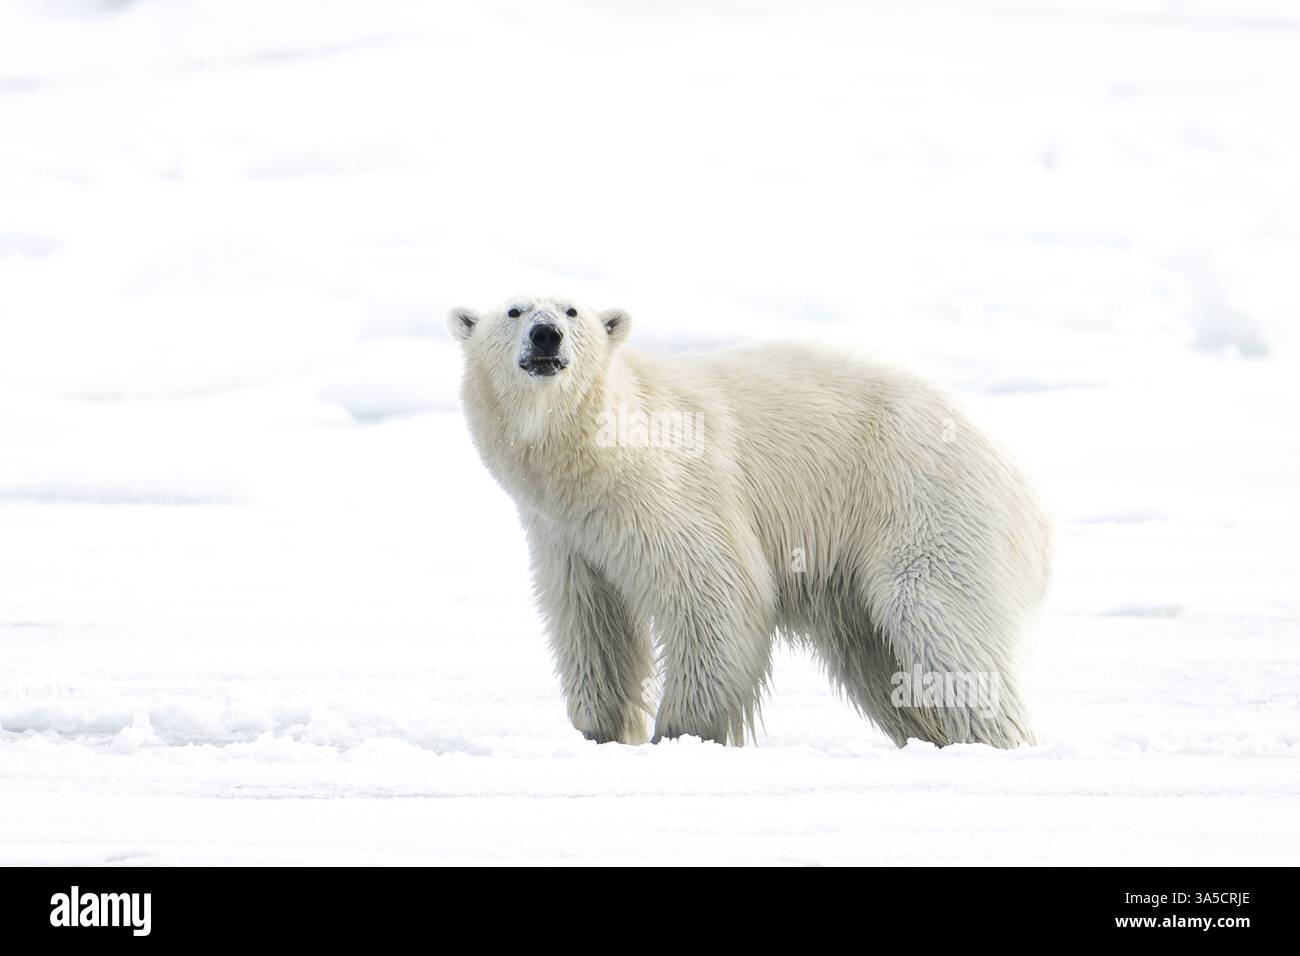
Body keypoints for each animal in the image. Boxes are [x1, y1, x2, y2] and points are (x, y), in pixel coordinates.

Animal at [448, 295, 1051, 748]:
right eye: (514, 310)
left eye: (572, 310)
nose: (546, 335)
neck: (592, 461)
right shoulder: (564, 536)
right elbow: (590, 625)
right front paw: (601, 730)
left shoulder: (672, 492)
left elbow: (716, 595)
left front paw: (680, 733)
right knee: (877, 661)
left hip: (922, 503)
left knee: (940, 624)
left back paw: (991, 738)